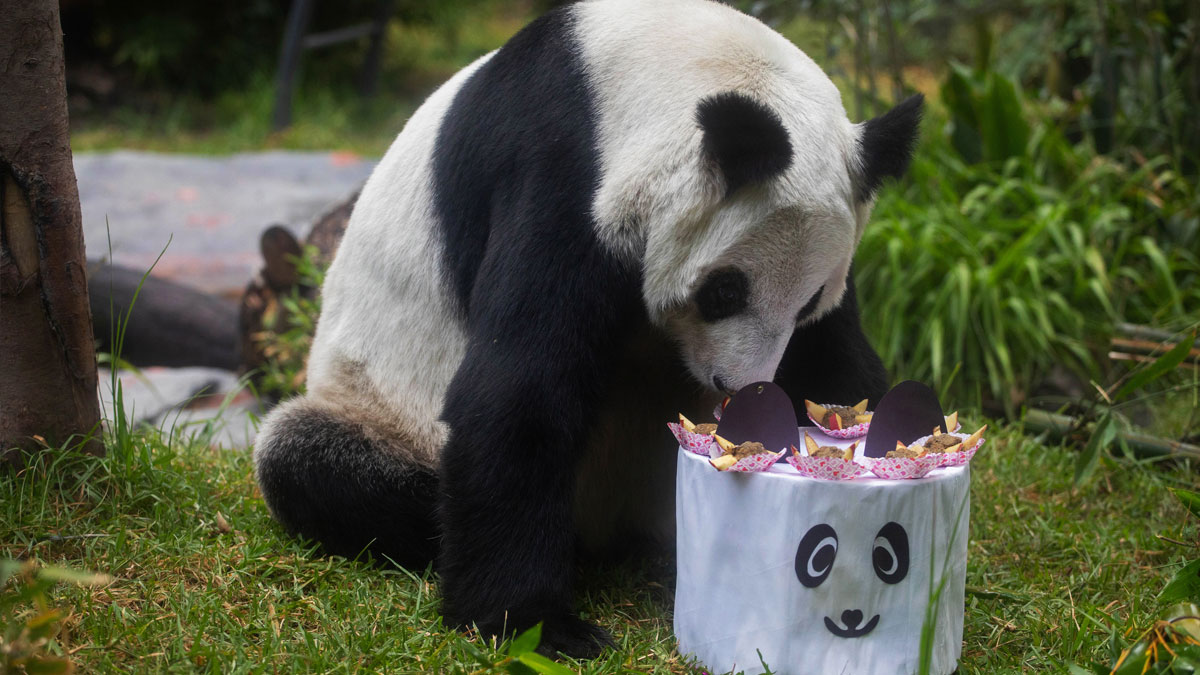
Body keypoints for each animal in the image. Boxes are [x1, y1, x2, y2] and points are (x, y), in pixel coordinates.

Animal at [253, 0, 921, 659]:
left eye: (809, 301)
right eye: (725, 292)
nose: (736, 385)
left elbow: (838, 361)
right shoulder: (560, 168)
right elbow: (520, 384)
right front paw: (537, 624)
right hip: (378, 409)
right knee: (315, 463)